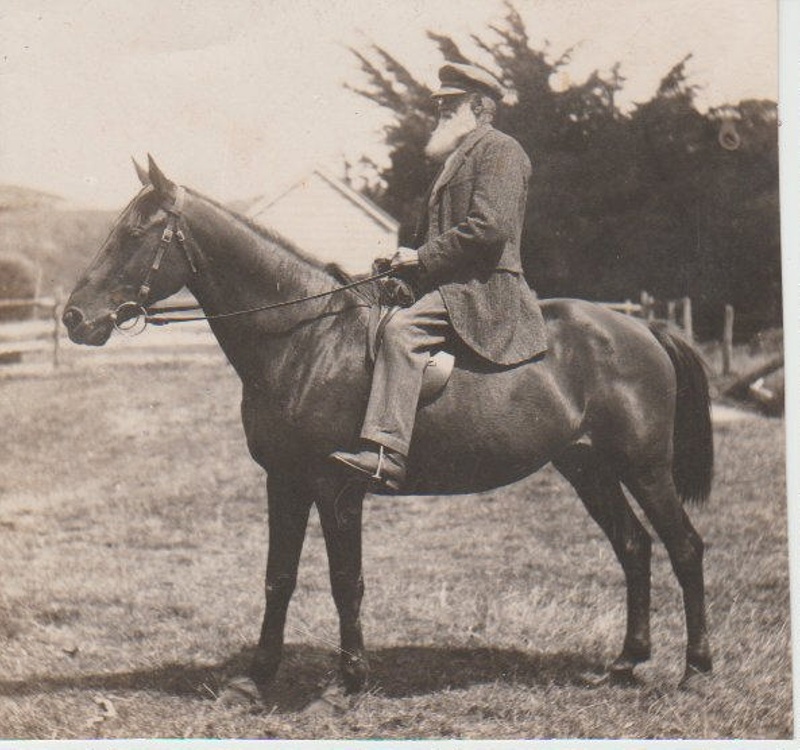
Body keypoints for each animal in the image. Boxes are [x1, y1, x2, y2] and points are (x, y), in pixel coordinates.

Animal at [62, 156, 714, 698]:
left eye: (134, 233)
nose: (73, 318)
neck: (308, 339)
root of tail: (645, 328)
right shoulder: (284, 482)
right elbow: (279, 577)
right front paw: (254, 679)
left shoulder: (336, 488)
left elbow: (344, 579)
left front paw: (345, 683)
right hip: (586, 466)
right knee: (633, 546)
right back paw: (627, 662)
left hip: (644, 466)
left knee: (684, 547)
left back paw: (695, 671)